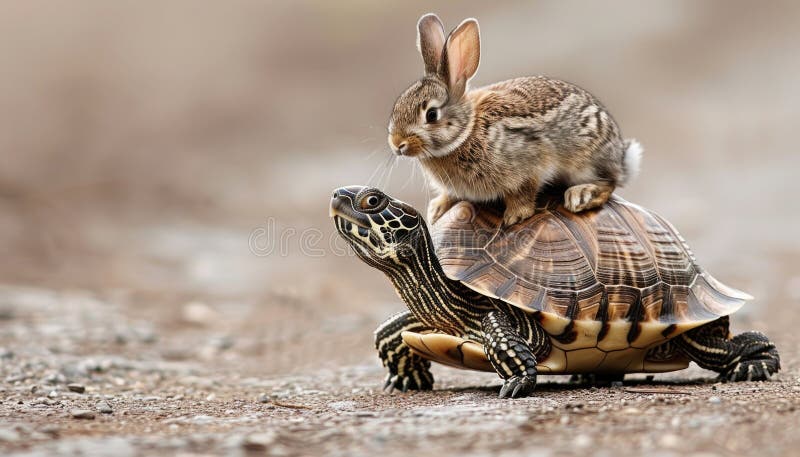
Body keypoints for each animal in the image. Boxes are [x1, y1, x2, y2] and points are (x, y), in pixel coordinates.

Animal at [387, 13, 643, 226]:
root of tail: (622, 157)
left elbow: (523, 192)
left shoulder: (528, 164)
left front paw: (514, 217)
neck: (467, 131)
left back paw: (582, 195)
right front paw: (436, 210)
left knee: (610, 182)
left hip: (585, 161)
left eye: (431, 115)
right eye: (397, 106)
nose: (397, 144)